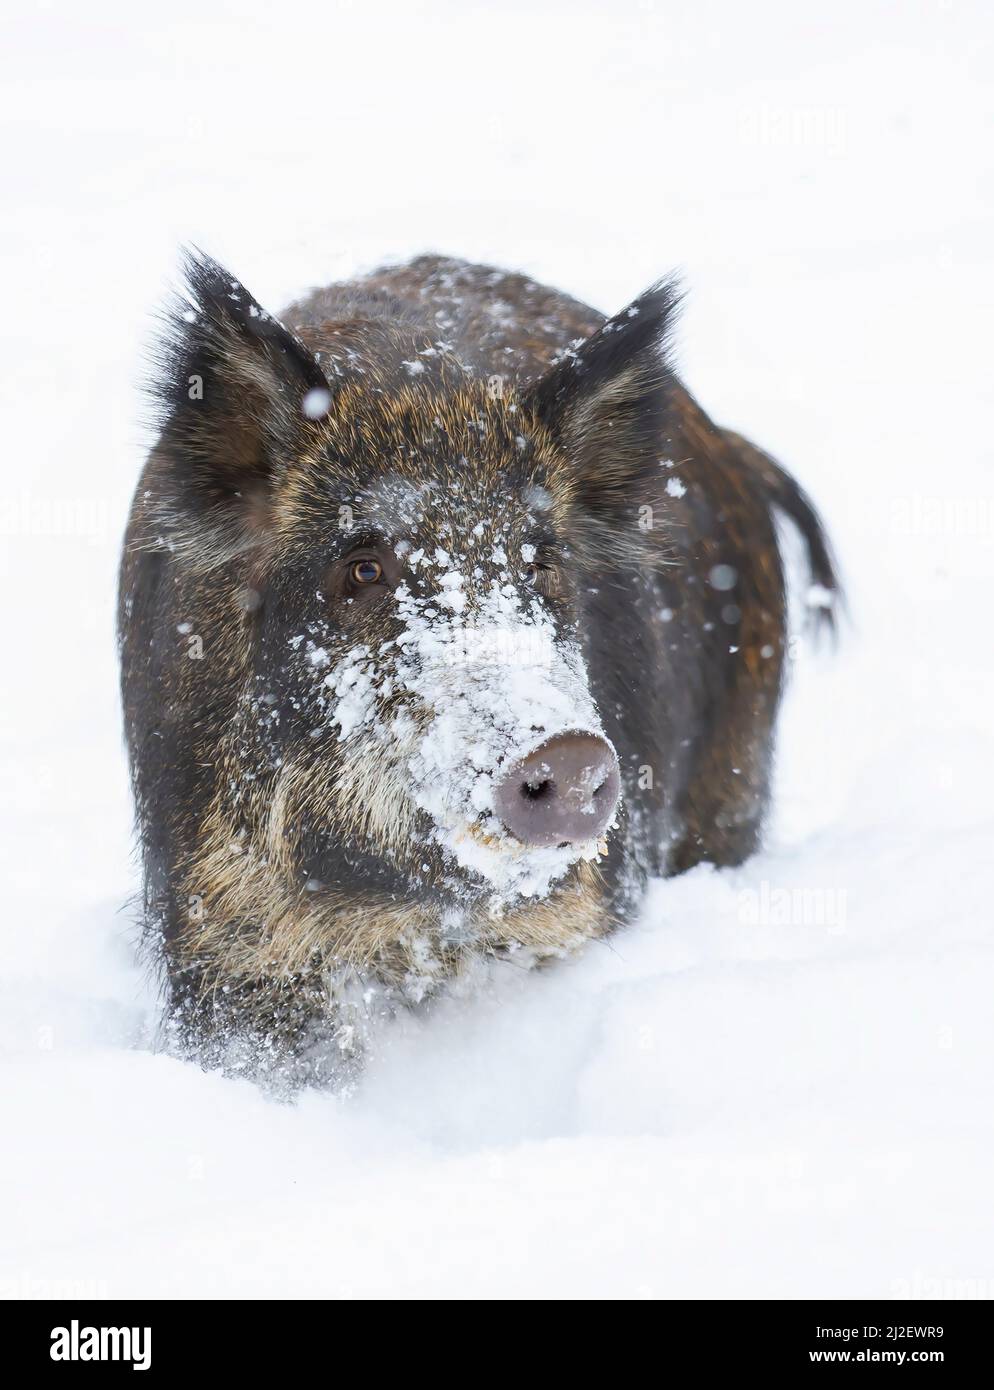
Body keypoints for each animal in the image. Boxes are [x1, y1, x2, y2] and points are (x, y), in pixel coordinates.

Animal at [119, 252, 838, 1085]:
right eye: (363, 569)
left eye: (541, 562)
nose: (566, 752)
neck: (398, 907)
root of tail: (733, 448)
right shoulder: (223, 927)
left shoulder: (575, 912)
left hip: (732, 787)